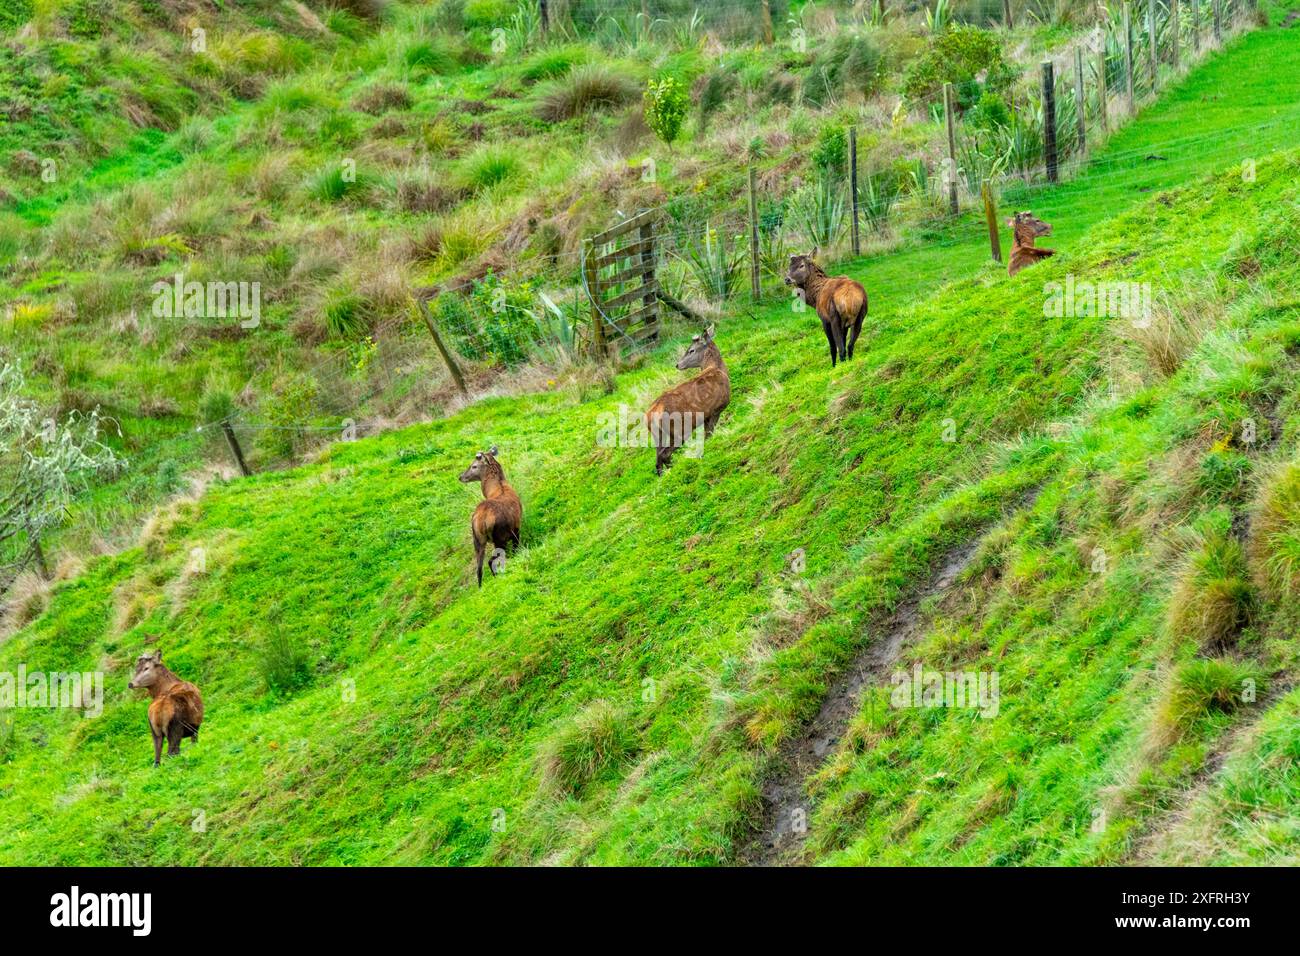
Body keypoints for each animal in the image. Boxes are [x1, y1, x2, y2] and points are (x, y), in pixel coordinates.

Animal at [458, 445, 522, 587]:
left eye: (474, 466)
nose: (460, 477)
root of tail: (481, 521)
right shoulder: (516, 529)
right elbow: (517, 549)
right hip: (500, 537)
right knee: (491, 561)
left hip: (477, 540)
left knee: (479, 569)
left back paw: (481, 587)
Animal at [644, 326, 731, 475]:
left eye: (691, 350)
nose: (678, 364)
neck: (718, 369)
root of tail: (652, 414)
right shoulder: (716, 410)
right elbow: (709, 435)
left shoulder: (706, 416)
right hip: (680, 429)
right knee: (665, 454)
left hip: (657, 435)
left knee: (658, 459)